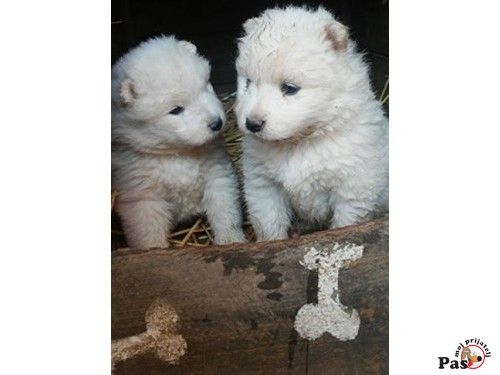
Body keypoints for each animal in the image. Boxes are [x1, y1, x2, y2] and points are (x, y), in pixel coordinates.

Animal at [112, 35, 247, 250]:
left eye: (206, 86)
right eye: (176, 110)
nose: (216, 123)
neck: (177, 153)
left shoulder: (217, 174)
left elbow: (225, 211)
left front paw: (231, 240)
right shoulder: (143, 199)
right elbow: (148, 234)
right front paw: (155, 251)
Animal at [235, 6, 390, 241]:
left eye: (290, 88)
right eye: (248, 82)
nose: (252, 124)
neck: (301, 142)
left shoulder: (352, 191)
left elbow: (344, 226)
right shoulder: (263, 184)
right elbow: (269, 225)